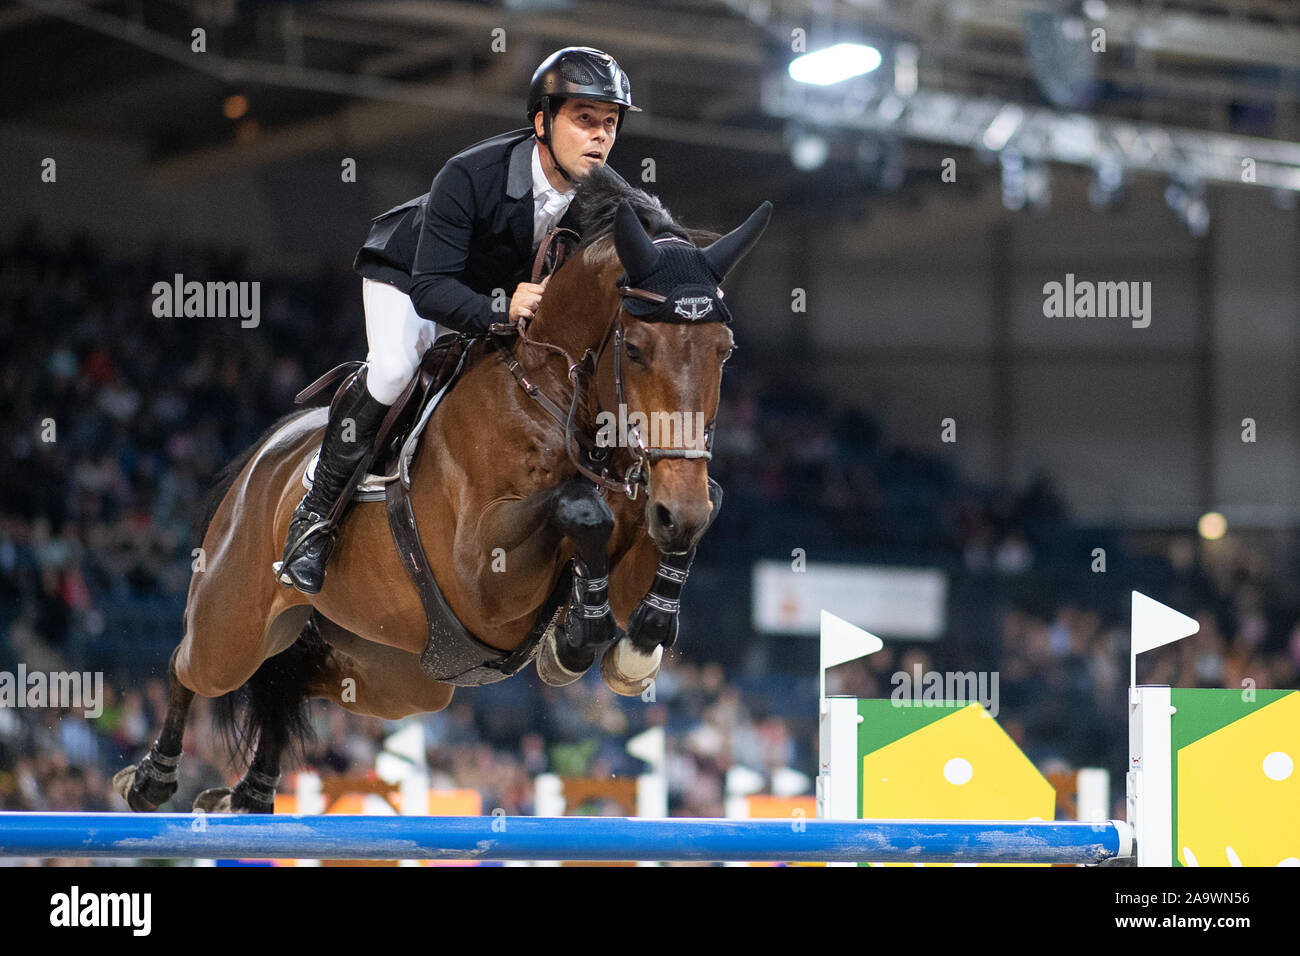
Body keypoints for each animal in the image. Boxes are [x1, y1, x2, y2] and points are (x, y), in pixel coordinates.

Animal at [114, 167, 772, 813]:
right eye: (634, 350)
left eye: (724, 352)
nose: (677, 512)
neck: (555, 399)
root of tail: (263, 455)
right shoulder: (483, 572)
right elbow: (581, 510)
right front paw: (576, 637)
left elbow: (695, 517)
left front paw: (635, 645)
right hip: (235, 624)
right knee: (190, 666)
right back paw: (152, 778)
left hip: (401, 673)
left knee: (294, 677)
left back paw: (251, 791)